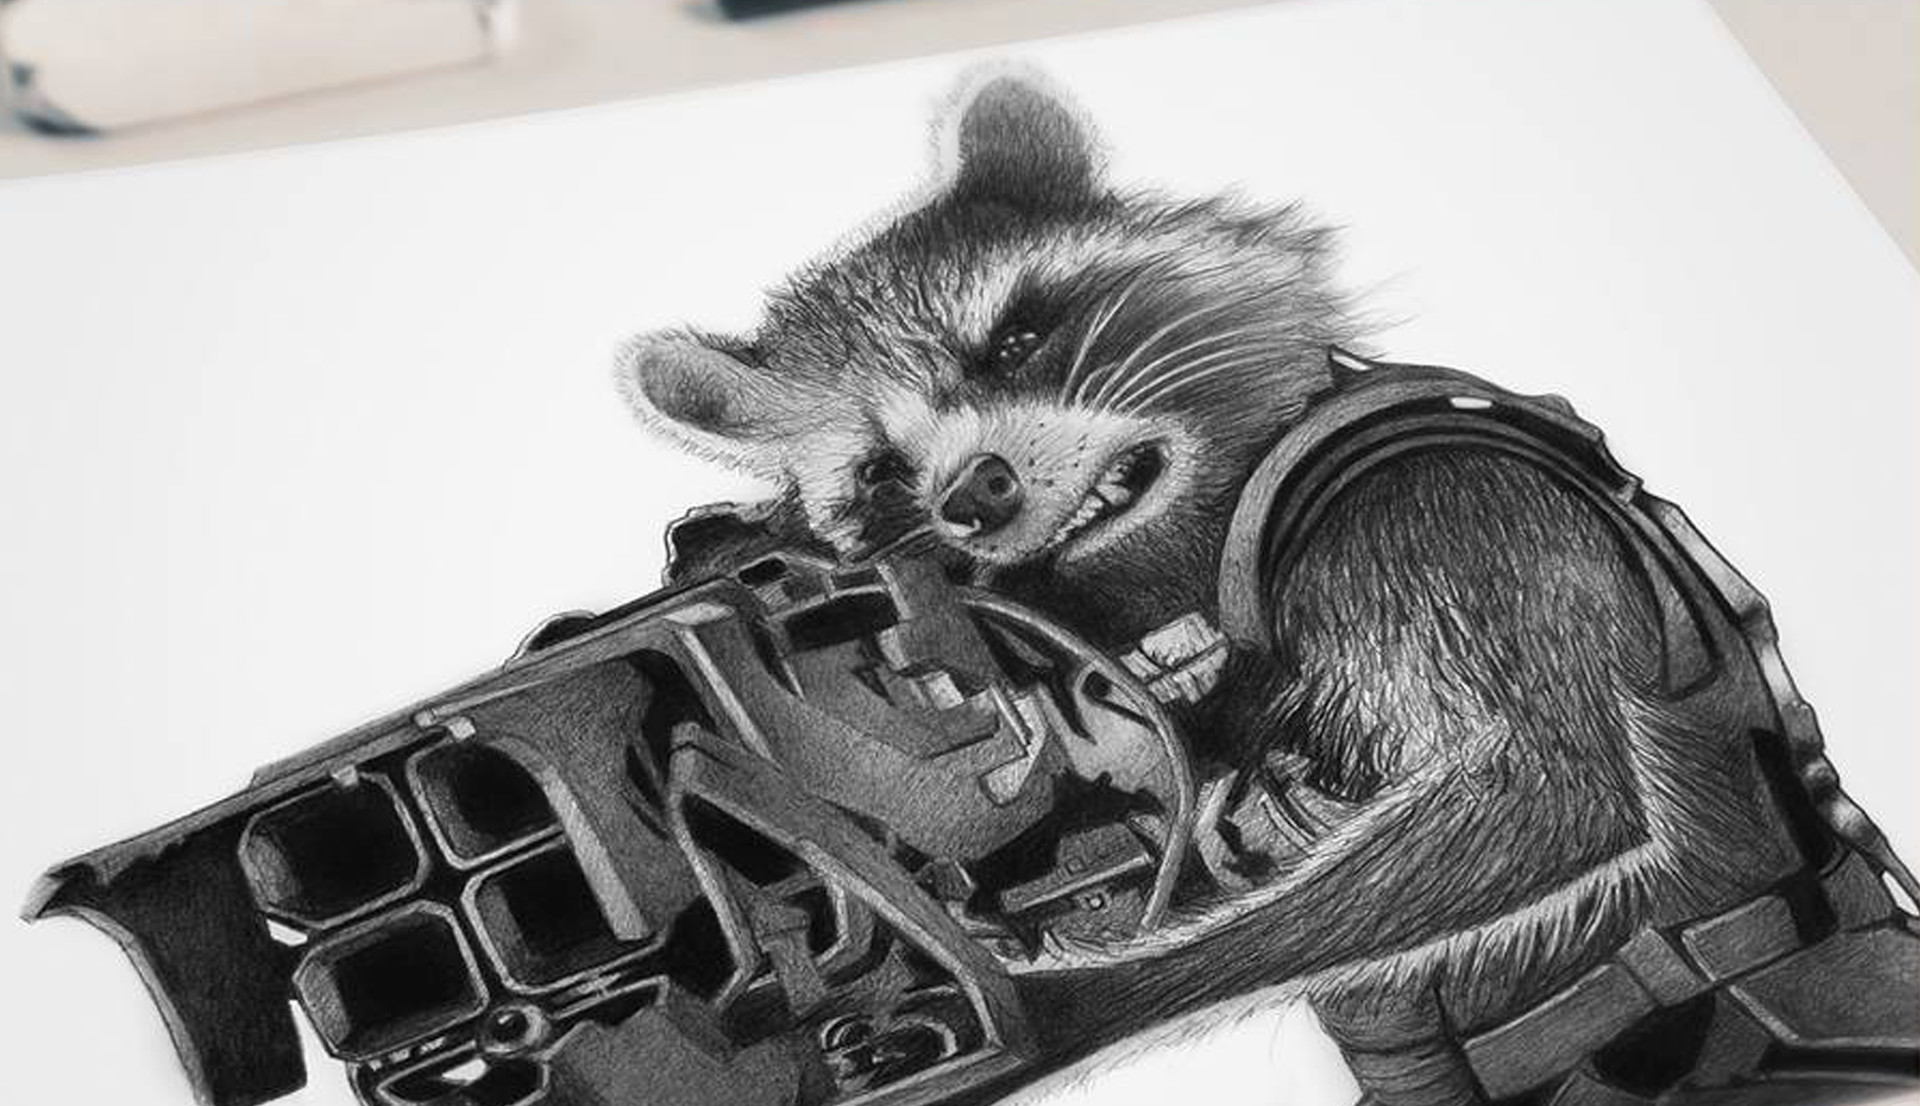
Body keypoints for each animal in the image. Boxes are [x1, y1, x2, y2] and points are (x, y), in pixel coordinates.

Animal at [617, 72, 1914, 1106]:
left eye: (1016, 340)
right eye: (882, 469)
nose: (972, 494)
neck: (1168, 562)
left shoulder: (1441, 517)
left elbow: (1553, 788)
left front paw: (1064, 993)